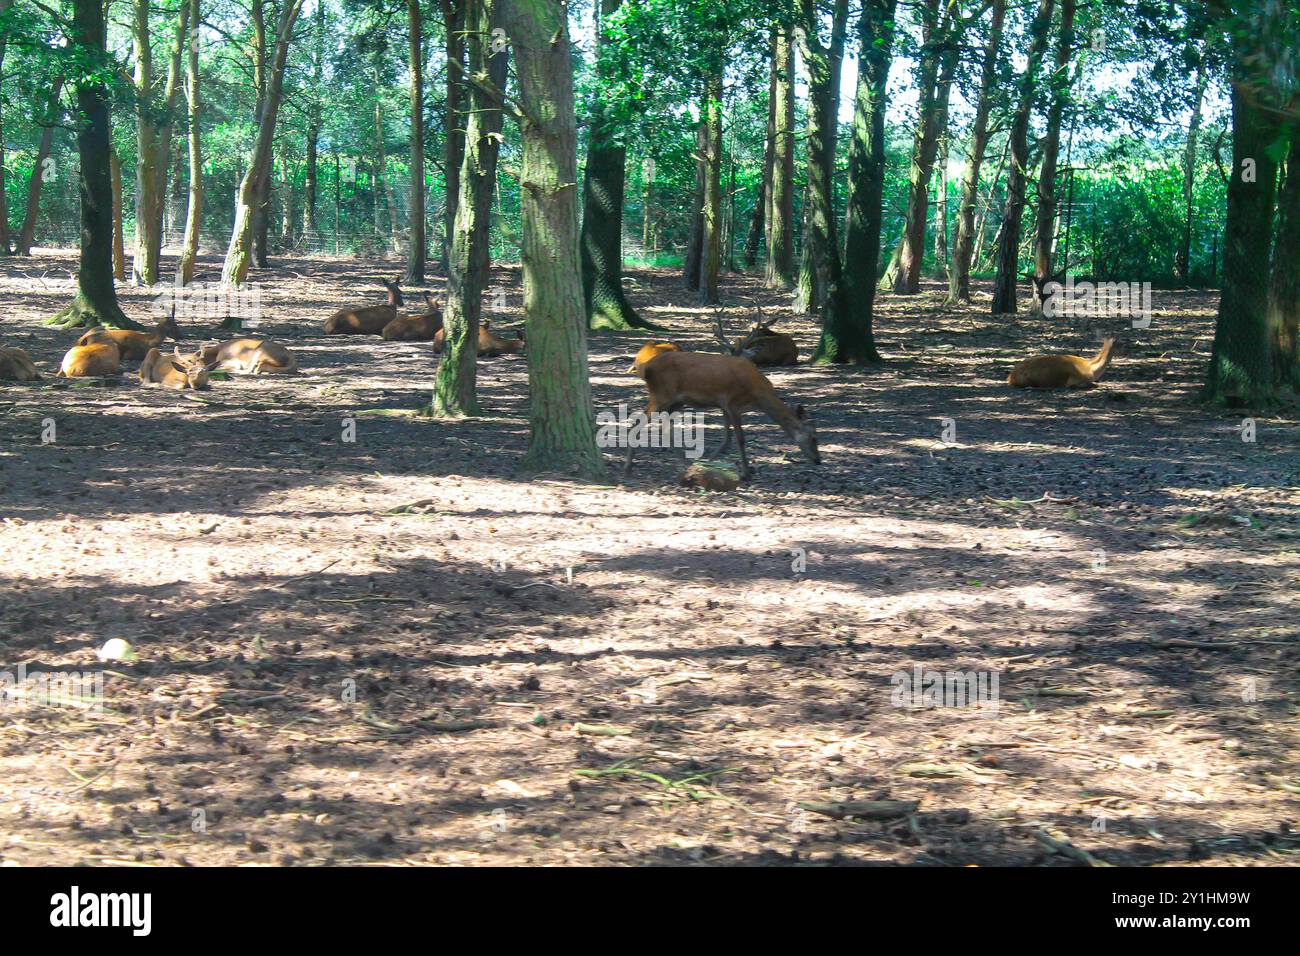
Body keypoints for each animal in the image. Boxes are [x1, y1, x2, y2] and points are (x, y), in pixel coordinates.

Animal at [624, 350, 820, 481]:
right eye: (813, 437)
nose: (818, 460)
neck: (758, 394)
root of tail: (646, 368)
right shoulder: (733, 403)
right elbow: (740, 438)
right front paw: (746, 473)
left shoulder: (723, 405)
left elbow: (726, 438)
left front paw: (710, 461)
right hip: (661, 395)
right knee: (636, 422)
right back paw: (629, 467)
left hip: (674, 401)